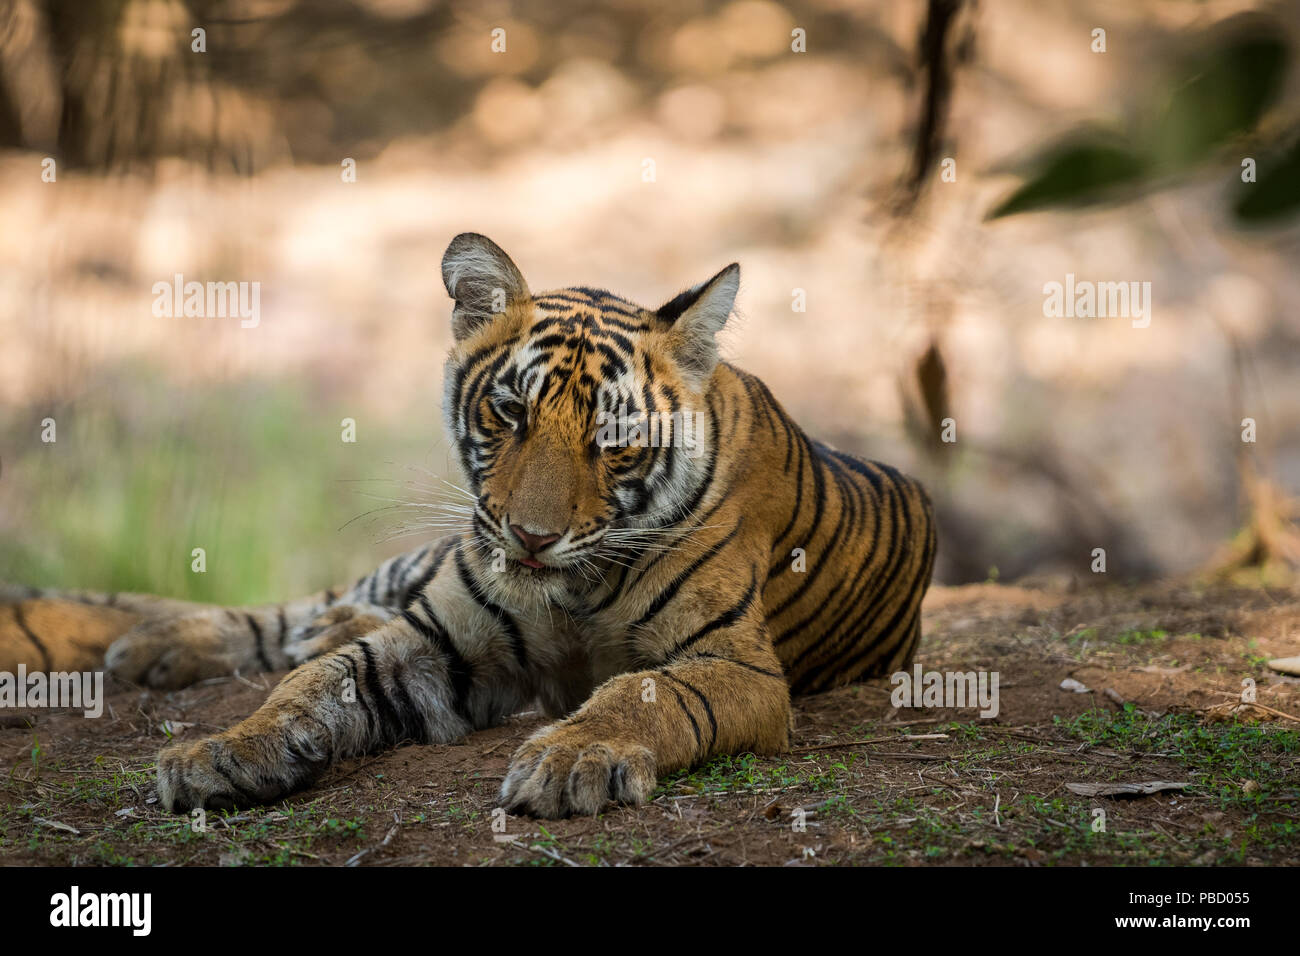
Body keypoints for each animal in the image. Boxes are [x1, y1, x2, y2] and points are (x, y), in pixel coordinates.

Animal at [0, 233, 936, 818]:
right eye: (510, 411)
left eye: (613, 441)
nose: (530, 537)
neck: (572, 589)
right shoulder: (439, 638)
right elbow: (314, 683)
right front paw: (222, 751)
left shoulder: (735, 666)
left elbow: (644, 692)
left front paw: (571, 759)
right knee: (298, 614)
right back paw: (161, 643)